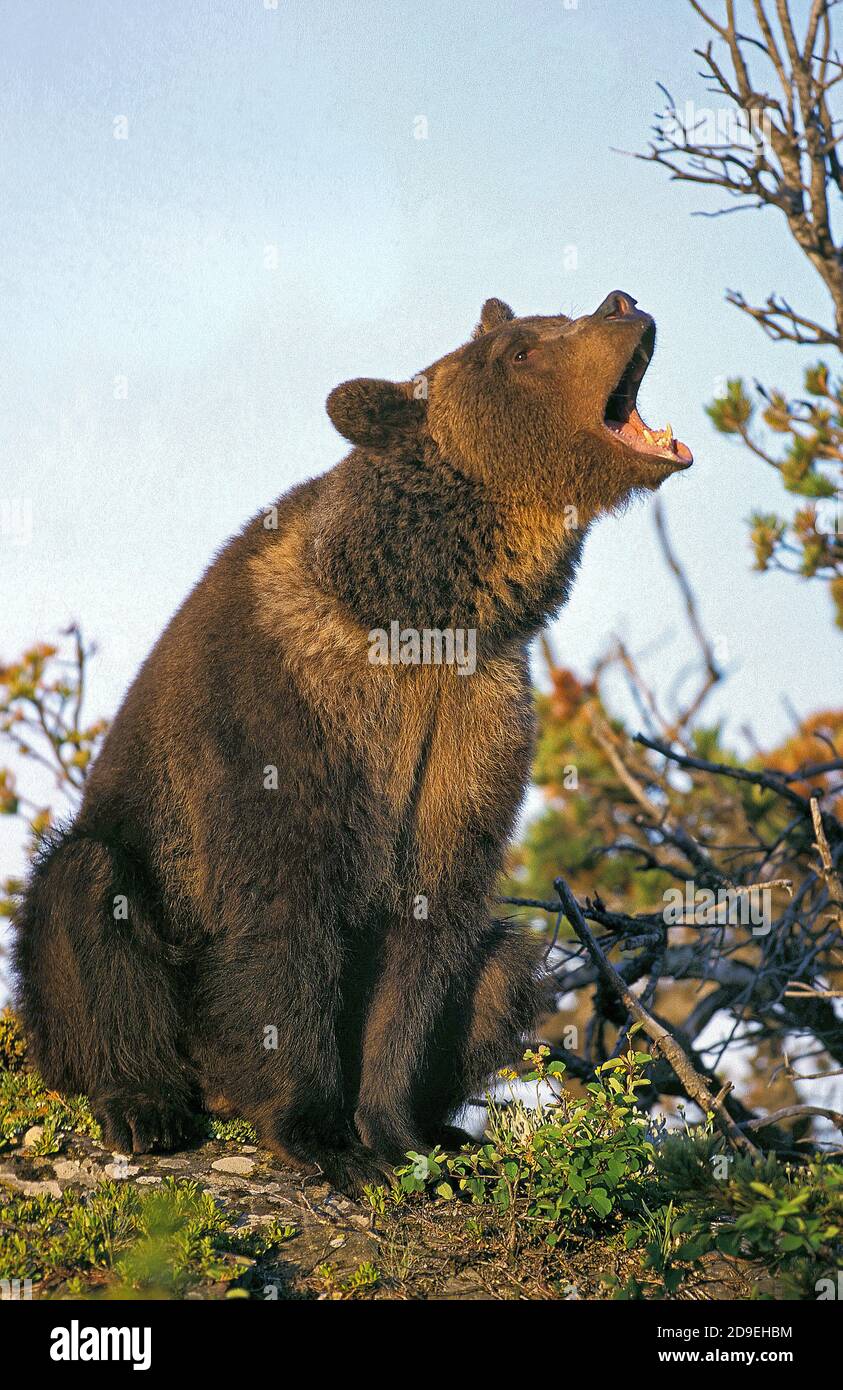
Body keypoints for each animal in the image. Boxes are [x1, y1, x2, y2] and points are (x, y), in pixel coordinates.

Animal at [13, 290, 691, 1193]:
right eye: (519, 350)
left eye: (550, 320)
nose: (621, 303)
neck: (420, 611)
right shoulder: (284, 704)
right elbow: (282, 908)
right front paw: (317, 1133)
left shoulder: (469, 725)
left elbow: (432, 924)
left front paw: (396, 1133)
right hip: (141, 928)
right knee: (88, 891)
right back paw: (145, 1101)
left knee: (507, 960)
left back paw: (452, 1126)